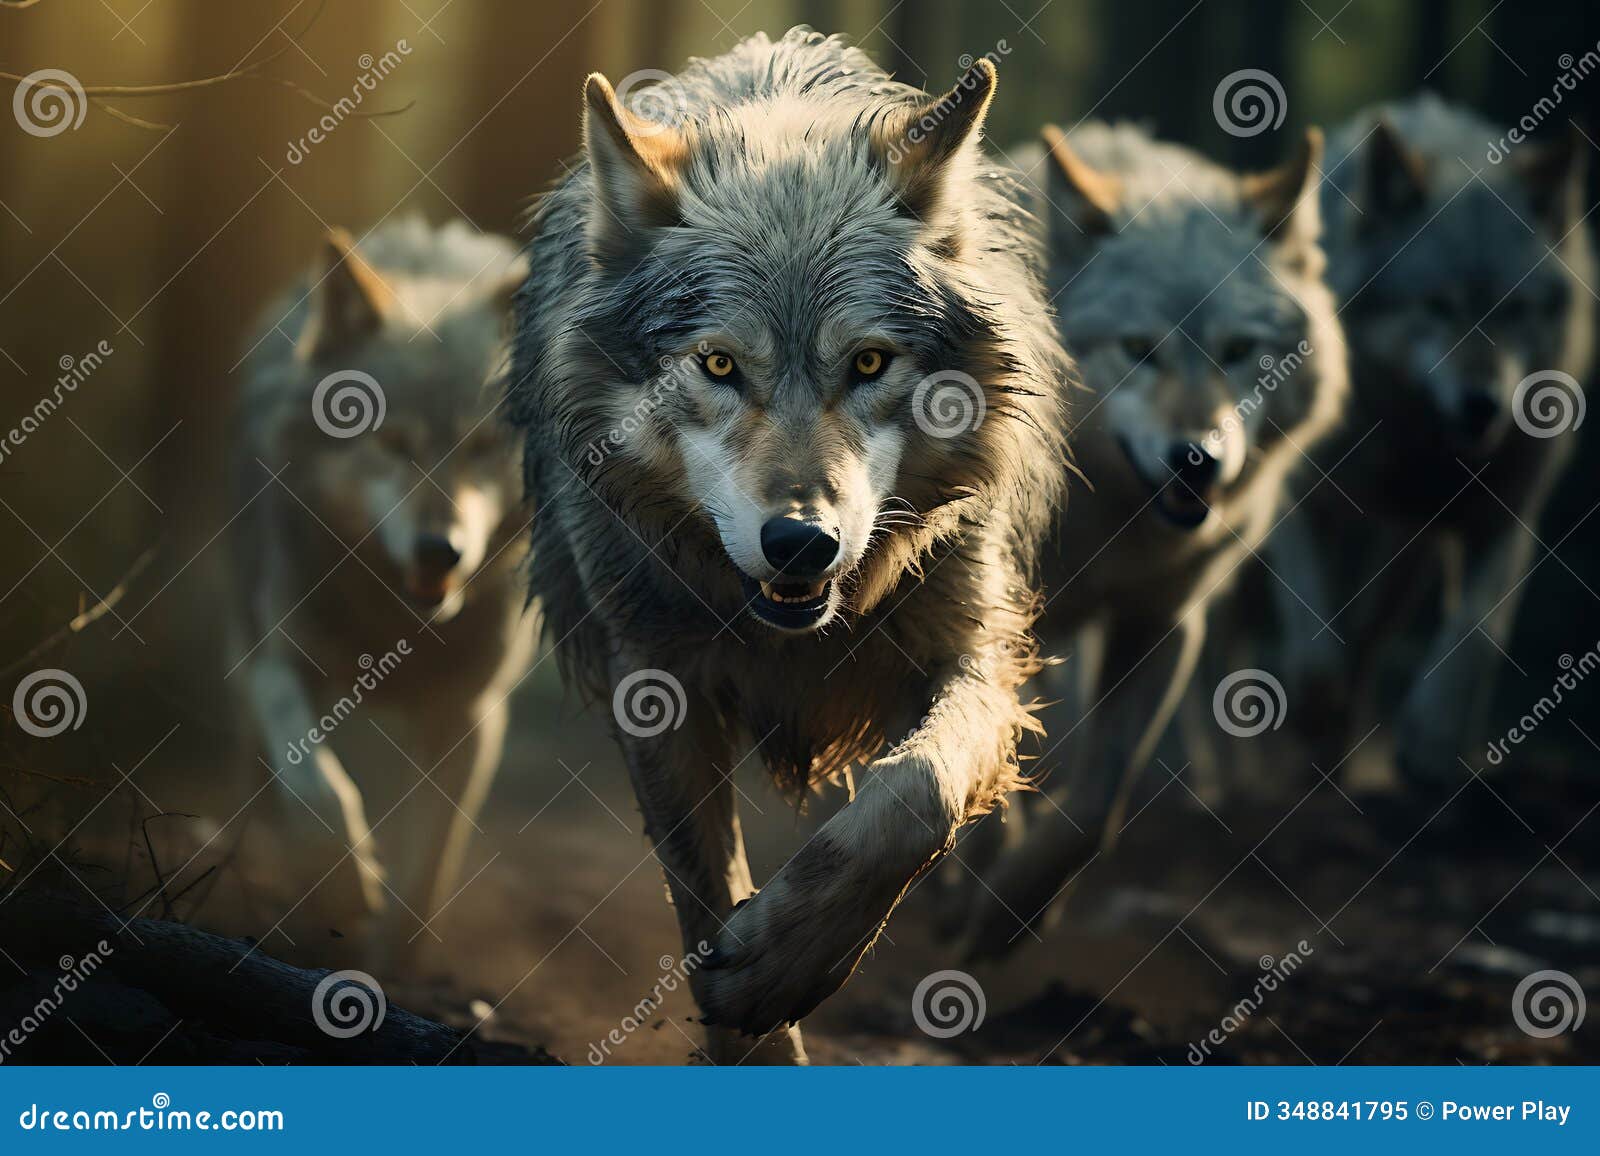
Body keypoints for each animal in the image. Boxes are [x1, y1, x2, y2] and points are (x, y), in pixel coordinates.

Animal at [231, 219, 534, 964]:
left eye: (482, 446)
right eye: (393, 443)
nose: (440, 550)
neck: (393, 622)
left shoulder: (469, 715)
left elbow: (427, 864)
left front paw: (397, 959)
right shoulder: (280, 665)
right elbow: (318, 791)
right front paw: (341, 887)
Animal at [508, 28, 1068, 1062]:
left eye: (870, 362)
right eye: (720, 364)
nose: (802, 543)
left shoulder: (973, 651)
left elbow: (913, 792)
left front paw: (788, 959)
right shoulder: (655, 681)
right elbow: (702, 894)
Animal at [954, 122, 1348, 954]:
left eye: (1237, 350)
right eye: (1140, 348)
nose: (1197, 457)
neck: (1105, 519)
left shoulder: (1163, 622)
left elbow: (1097, 805)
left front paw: (1012, 911)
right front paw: (970, 889)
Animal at [1266, 96, 1593, 787]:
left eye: (1514, 311)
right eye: (1438, 306)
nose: (1482, 404)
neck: (1421, 446)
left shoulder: (1508, 517)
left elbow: (1475, 637)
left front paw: (1432, 744)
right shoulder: (1299, 502)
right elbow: (1313, 645)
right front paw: (1312, 707)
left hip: (1409, 556)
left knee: (1373, 639)